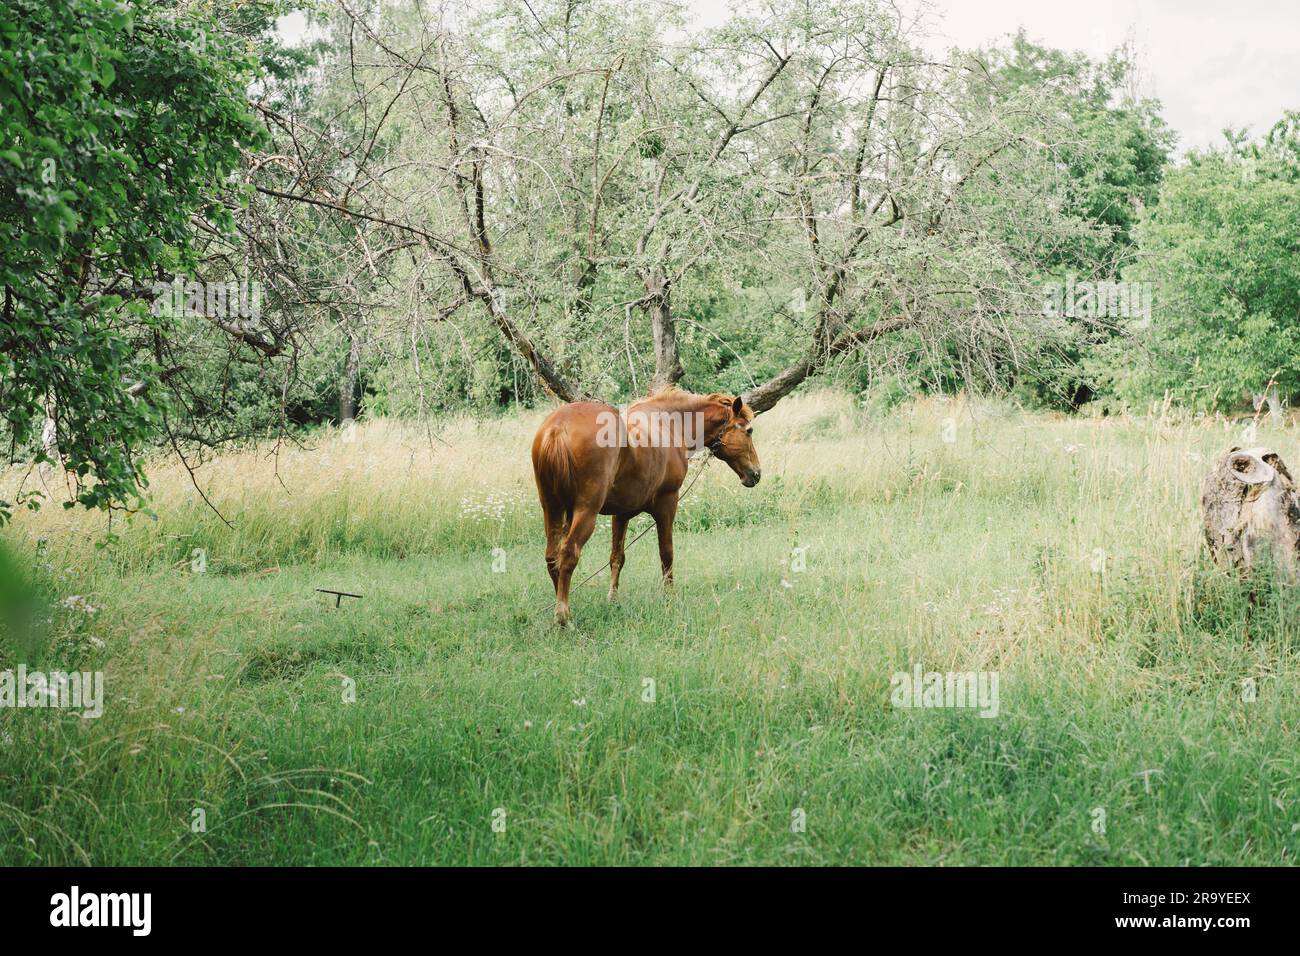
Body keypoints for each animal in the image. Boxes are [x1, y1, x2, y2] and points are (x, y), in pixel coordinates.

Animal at [531, 387, 761, 625]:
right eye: (749, 431)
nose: (756, 474)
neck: (670, 424)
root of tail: (558, 428)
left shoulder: (620, 514)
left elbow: (617, 557)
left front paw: (613, 599)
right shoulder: (668, 503)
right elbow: (666, 553)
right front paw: (669, 596)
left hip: (553, 509)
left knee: (553, 557)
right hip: (586, 512)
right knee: (568, 554)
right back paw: (563, 616)